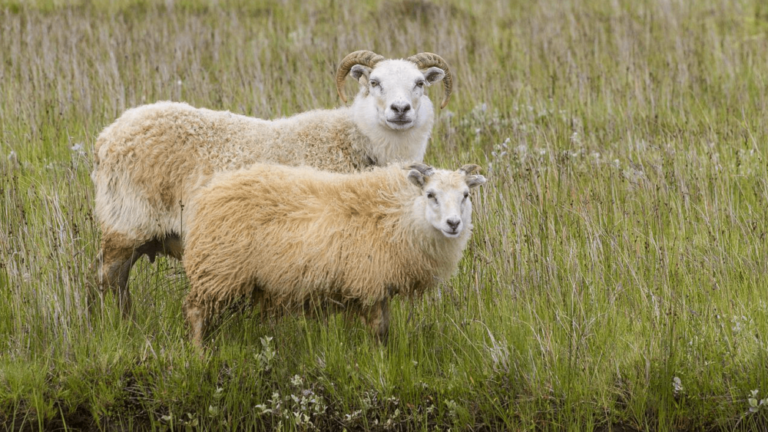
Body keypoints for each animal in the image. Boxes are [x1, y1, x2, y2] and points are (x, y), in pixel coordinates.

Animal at [90, 50, 454, 314]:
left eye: (420, 83)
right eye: (375, 82)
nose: (400, 109)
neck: (357, 142)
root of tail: (109, 135)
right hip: (127, 220)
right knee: (108, 278)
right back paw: (117, 323)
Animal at [181, 162, 486, 347]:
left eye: (466, 195)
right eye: (431, 194)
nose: (453, 224)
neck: (399, 217)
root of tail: (210, 191)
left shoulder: (381, 285)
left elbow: (385, 328)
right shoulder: (369, 282)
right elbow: (377, 329)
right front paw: (380, 362)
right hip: (218, 269)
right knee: (196, 312)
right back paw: (200, 355)